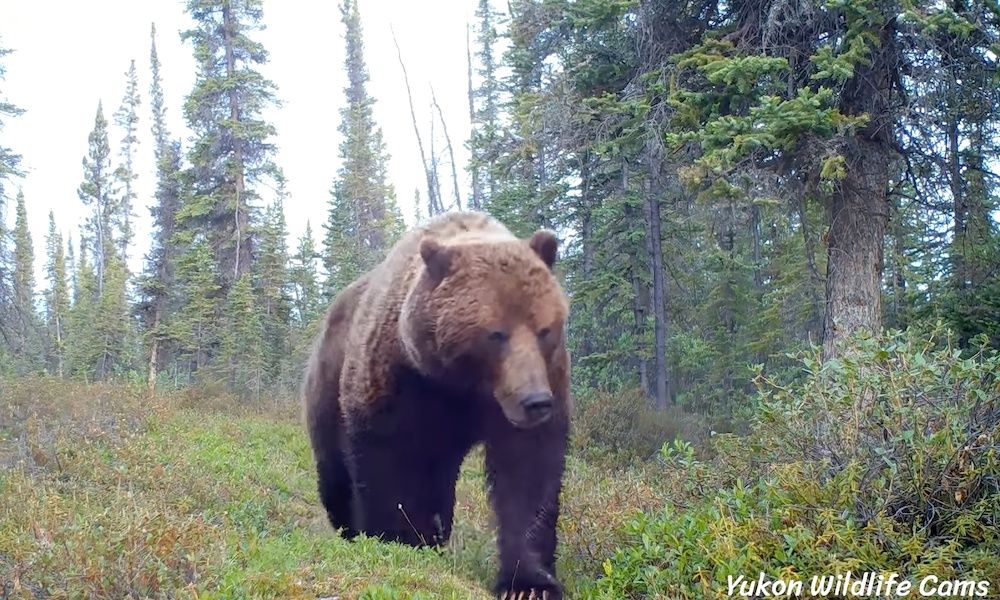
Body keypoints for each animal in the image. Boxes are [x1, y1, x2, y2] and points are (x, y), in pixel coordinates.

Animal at [302, 211, 572, 599]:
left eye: (544, 330)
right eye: (496, 334)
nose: (535, 401)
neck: (457, 383)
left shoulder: (535, 387)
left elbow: (528, 473)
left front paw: (529, 583)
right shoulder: (398, 384)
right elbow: (388, 464)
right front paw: (397, 539)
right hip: (327, 387)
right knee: (335, 474)